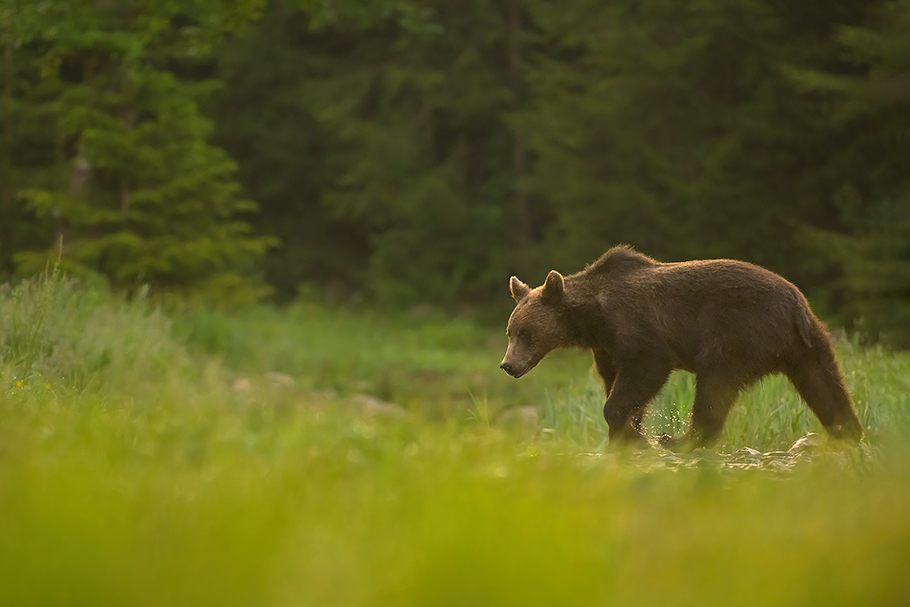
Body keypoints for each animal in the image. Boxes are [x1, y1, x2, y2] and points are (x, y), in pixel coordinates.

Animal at [499, 245, 864, 451]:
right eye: (510, 331)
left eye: (526, 332)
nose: (507, 365)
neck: (593, 319)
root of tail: (795, 304)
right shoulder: (606, 348)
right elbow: (616, 381)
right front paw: (627, 435)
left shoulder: (638, 330)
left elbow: (645, 371)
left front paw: (634, 435)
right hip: (808, 342)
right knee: (822, 381)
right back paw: (848, 431)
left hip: (736, 330)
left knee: (715, 384)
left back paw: (679, 440)